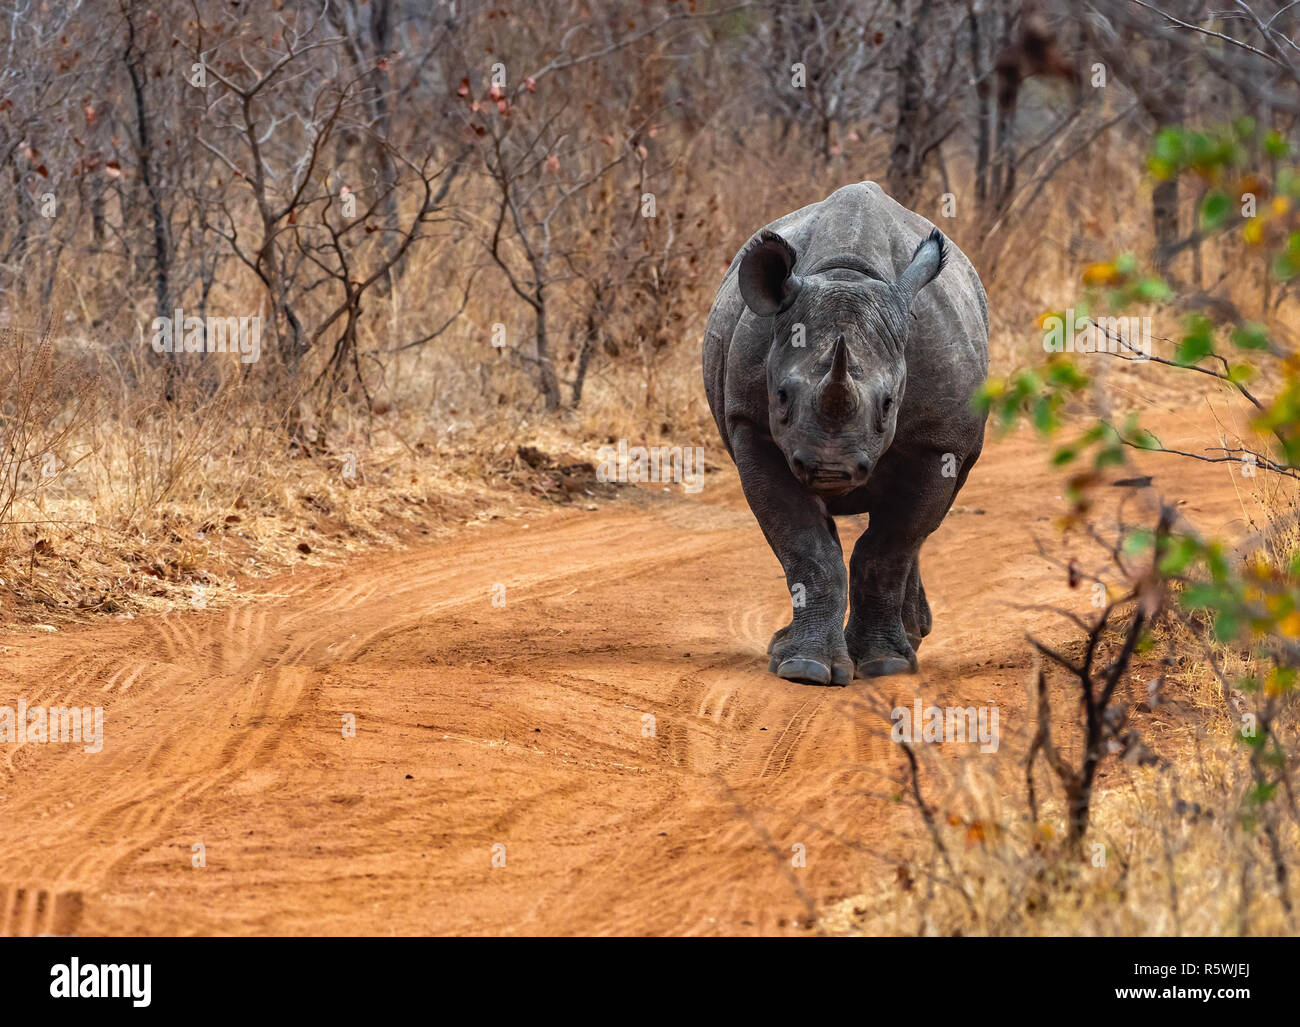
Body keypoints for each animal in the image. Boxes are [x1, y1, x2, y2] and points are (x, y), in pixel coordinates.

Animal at [703, 182, 988, 684]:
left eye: (889, 404)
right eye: (781, 396)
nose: (830, 469)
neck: (847, 277)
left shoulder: (940, 442)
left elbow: (889, 549)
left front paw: (885, 664)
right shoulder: (750, 426)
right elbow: (805, 546)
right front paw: (803, 668)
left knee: (920, 531)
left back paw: (911, 638)